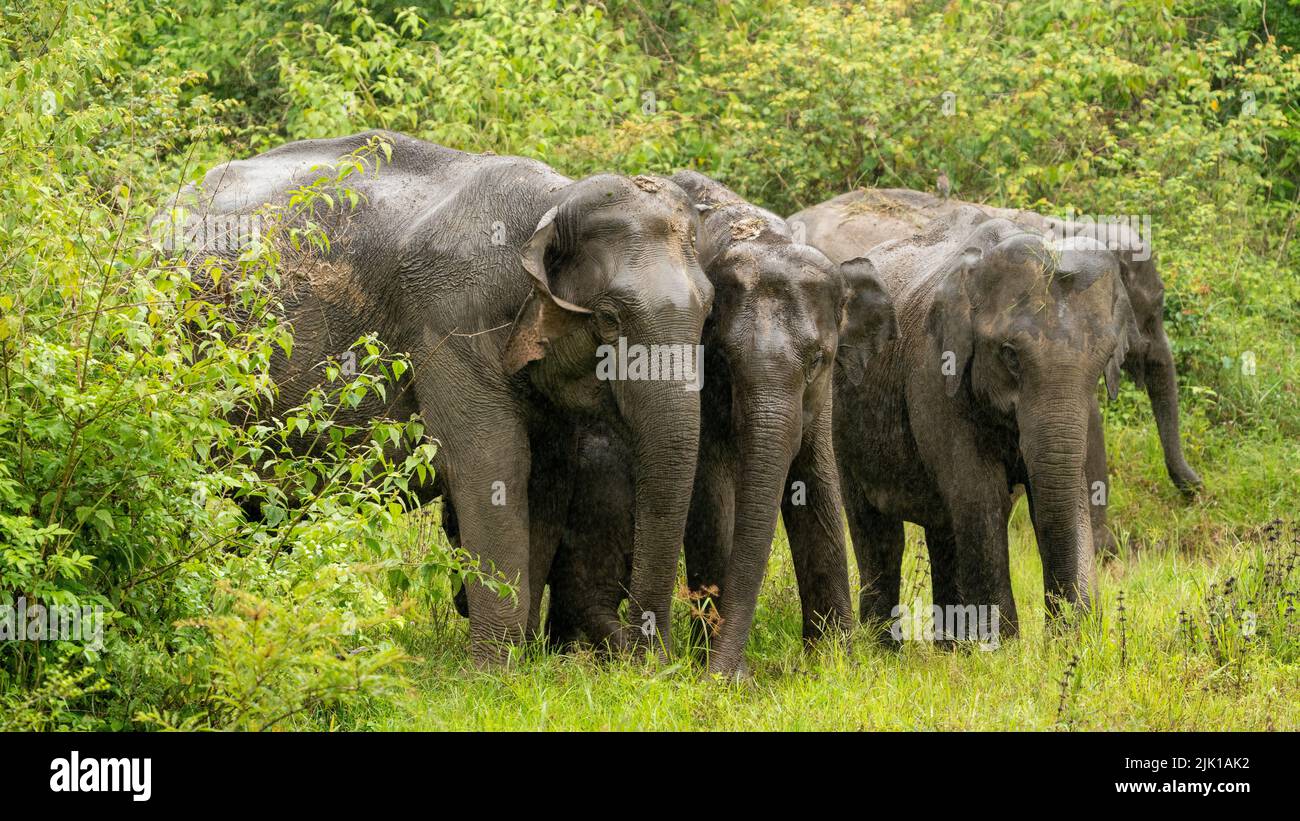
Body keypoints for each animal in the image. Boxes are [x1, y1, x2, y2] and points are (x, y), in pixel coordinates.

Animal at [168, 131, 713, 666]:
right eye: (608, 318)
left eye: (710, 308)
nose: (654, 664)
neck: (551, 203)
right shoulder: (447, 320)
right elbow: (492, 463)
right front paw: (493, 672)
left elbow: (545, 476)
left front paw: (519, 664)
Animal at [541, 170, 895, 677]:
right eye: (723, 359)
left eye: (818, 360)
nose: (727, 677)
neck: (762, 238)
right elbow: (710, 493)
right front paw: (716, 667)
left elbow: (817, 481)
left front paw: (836, 664)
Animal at [801, 206, 1134, 641]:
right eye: (1009, 355)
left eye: (1105, 357)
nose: (1062, 628)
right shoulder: (934, 370)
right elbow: (980, 495)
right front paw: (1003, 646)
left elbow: (1068, 491)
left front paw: (1071, 639)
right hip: (841, 419)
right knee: (881, 532)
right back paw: (883, 647)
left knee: (944, 531)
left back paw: (951, 648)